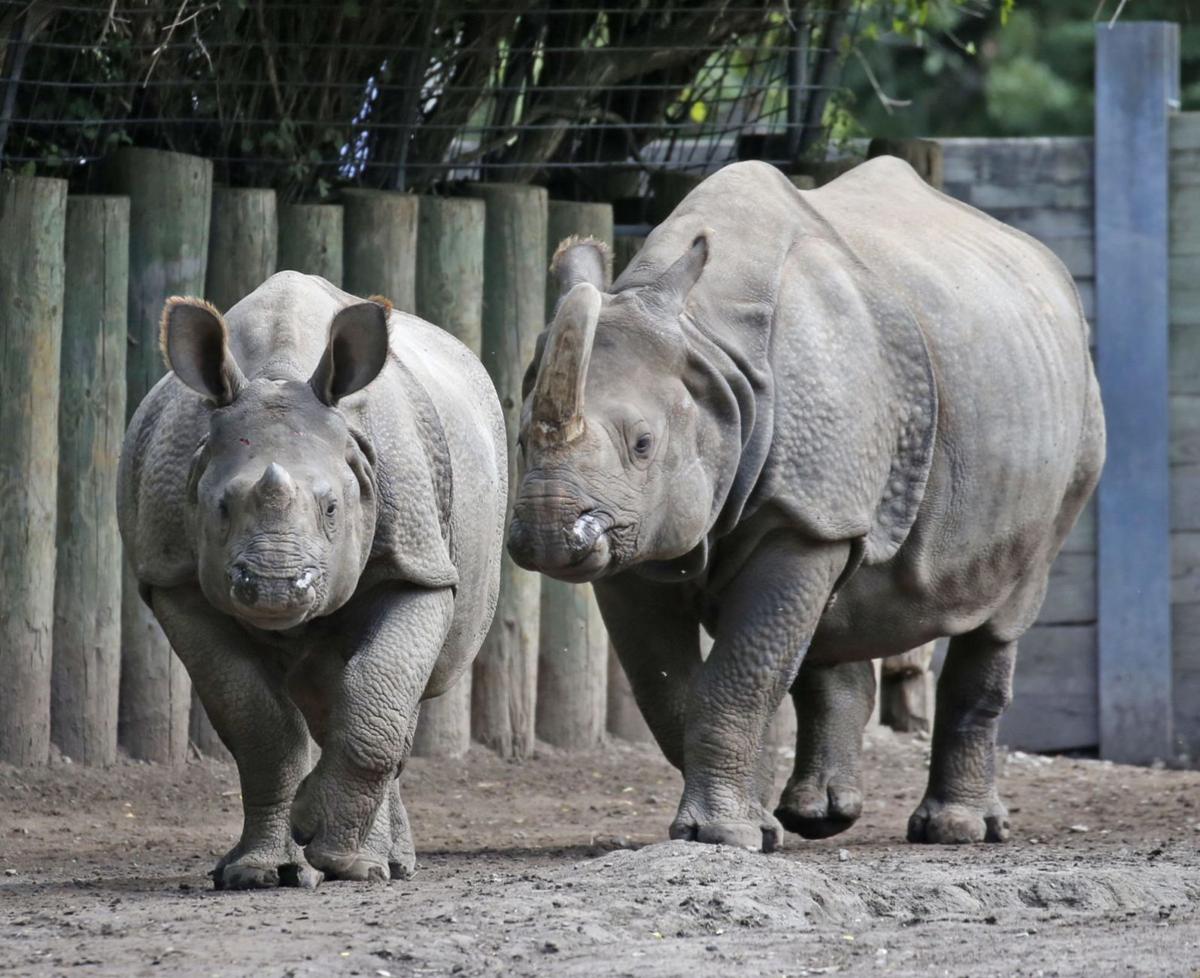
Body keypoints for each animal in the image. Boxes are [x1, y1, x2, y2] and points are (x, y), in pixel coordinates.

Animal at [118, 272, 506, 887]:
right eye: (220, 508)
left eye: (331, 510)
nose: (276, 586)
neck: (279, 371)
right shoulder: (173, 578)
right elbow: (255, 721)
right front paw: (256, 872)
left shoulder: (419, 561)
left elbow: (380, 688)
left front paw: (328, 844)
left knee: (389, 692)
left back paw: (376, 866)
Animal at [509, 159, 1105, 851]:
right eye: (519, 440)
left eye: (642, 444)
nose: (549, 532)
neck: (707, 344)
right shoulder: (639, 535)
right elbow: (671, 690)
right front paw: (753, 825)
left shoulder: (798, 516)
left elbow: (739, 675)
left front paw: (724, 835)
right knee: (836, 610)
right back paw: (819, 816)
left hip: (1075, 419)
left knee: (1005, 603)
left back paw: (955, 830)